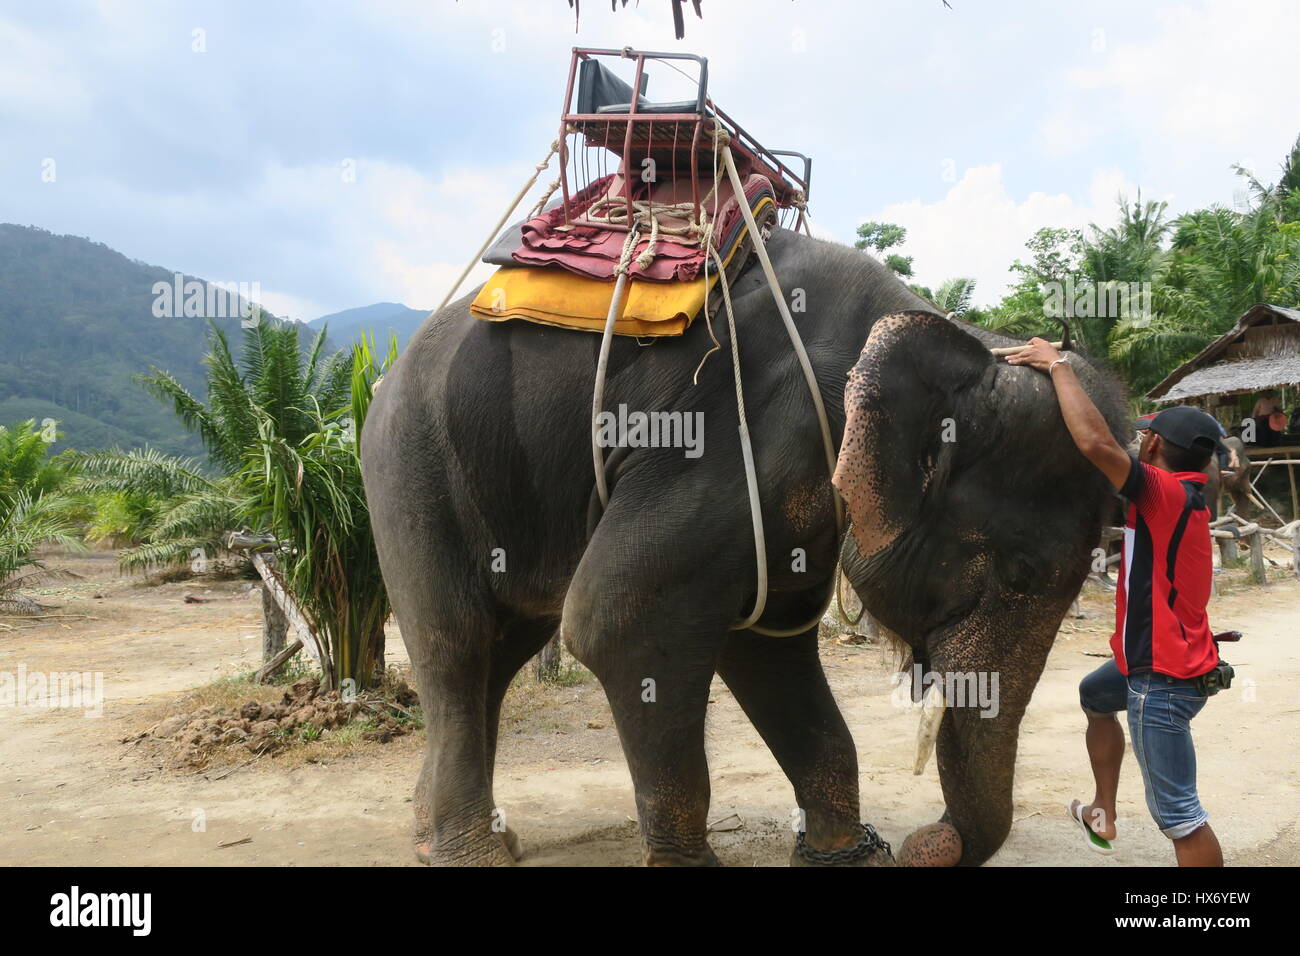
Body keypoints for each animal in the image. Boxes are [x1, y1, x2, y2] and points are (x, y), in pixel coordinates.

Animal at [359, 229, 1129, 866]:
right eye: (1021, 574)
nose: (925, 840)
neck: (941, 331)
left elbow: (765, 644)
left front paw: (840, 857)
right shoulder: (731, 439)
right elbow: (620, 624)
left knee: (503, 647)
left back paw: (455, 838)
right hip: (410, 471)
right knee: (455, 643)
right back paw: (471, 855)